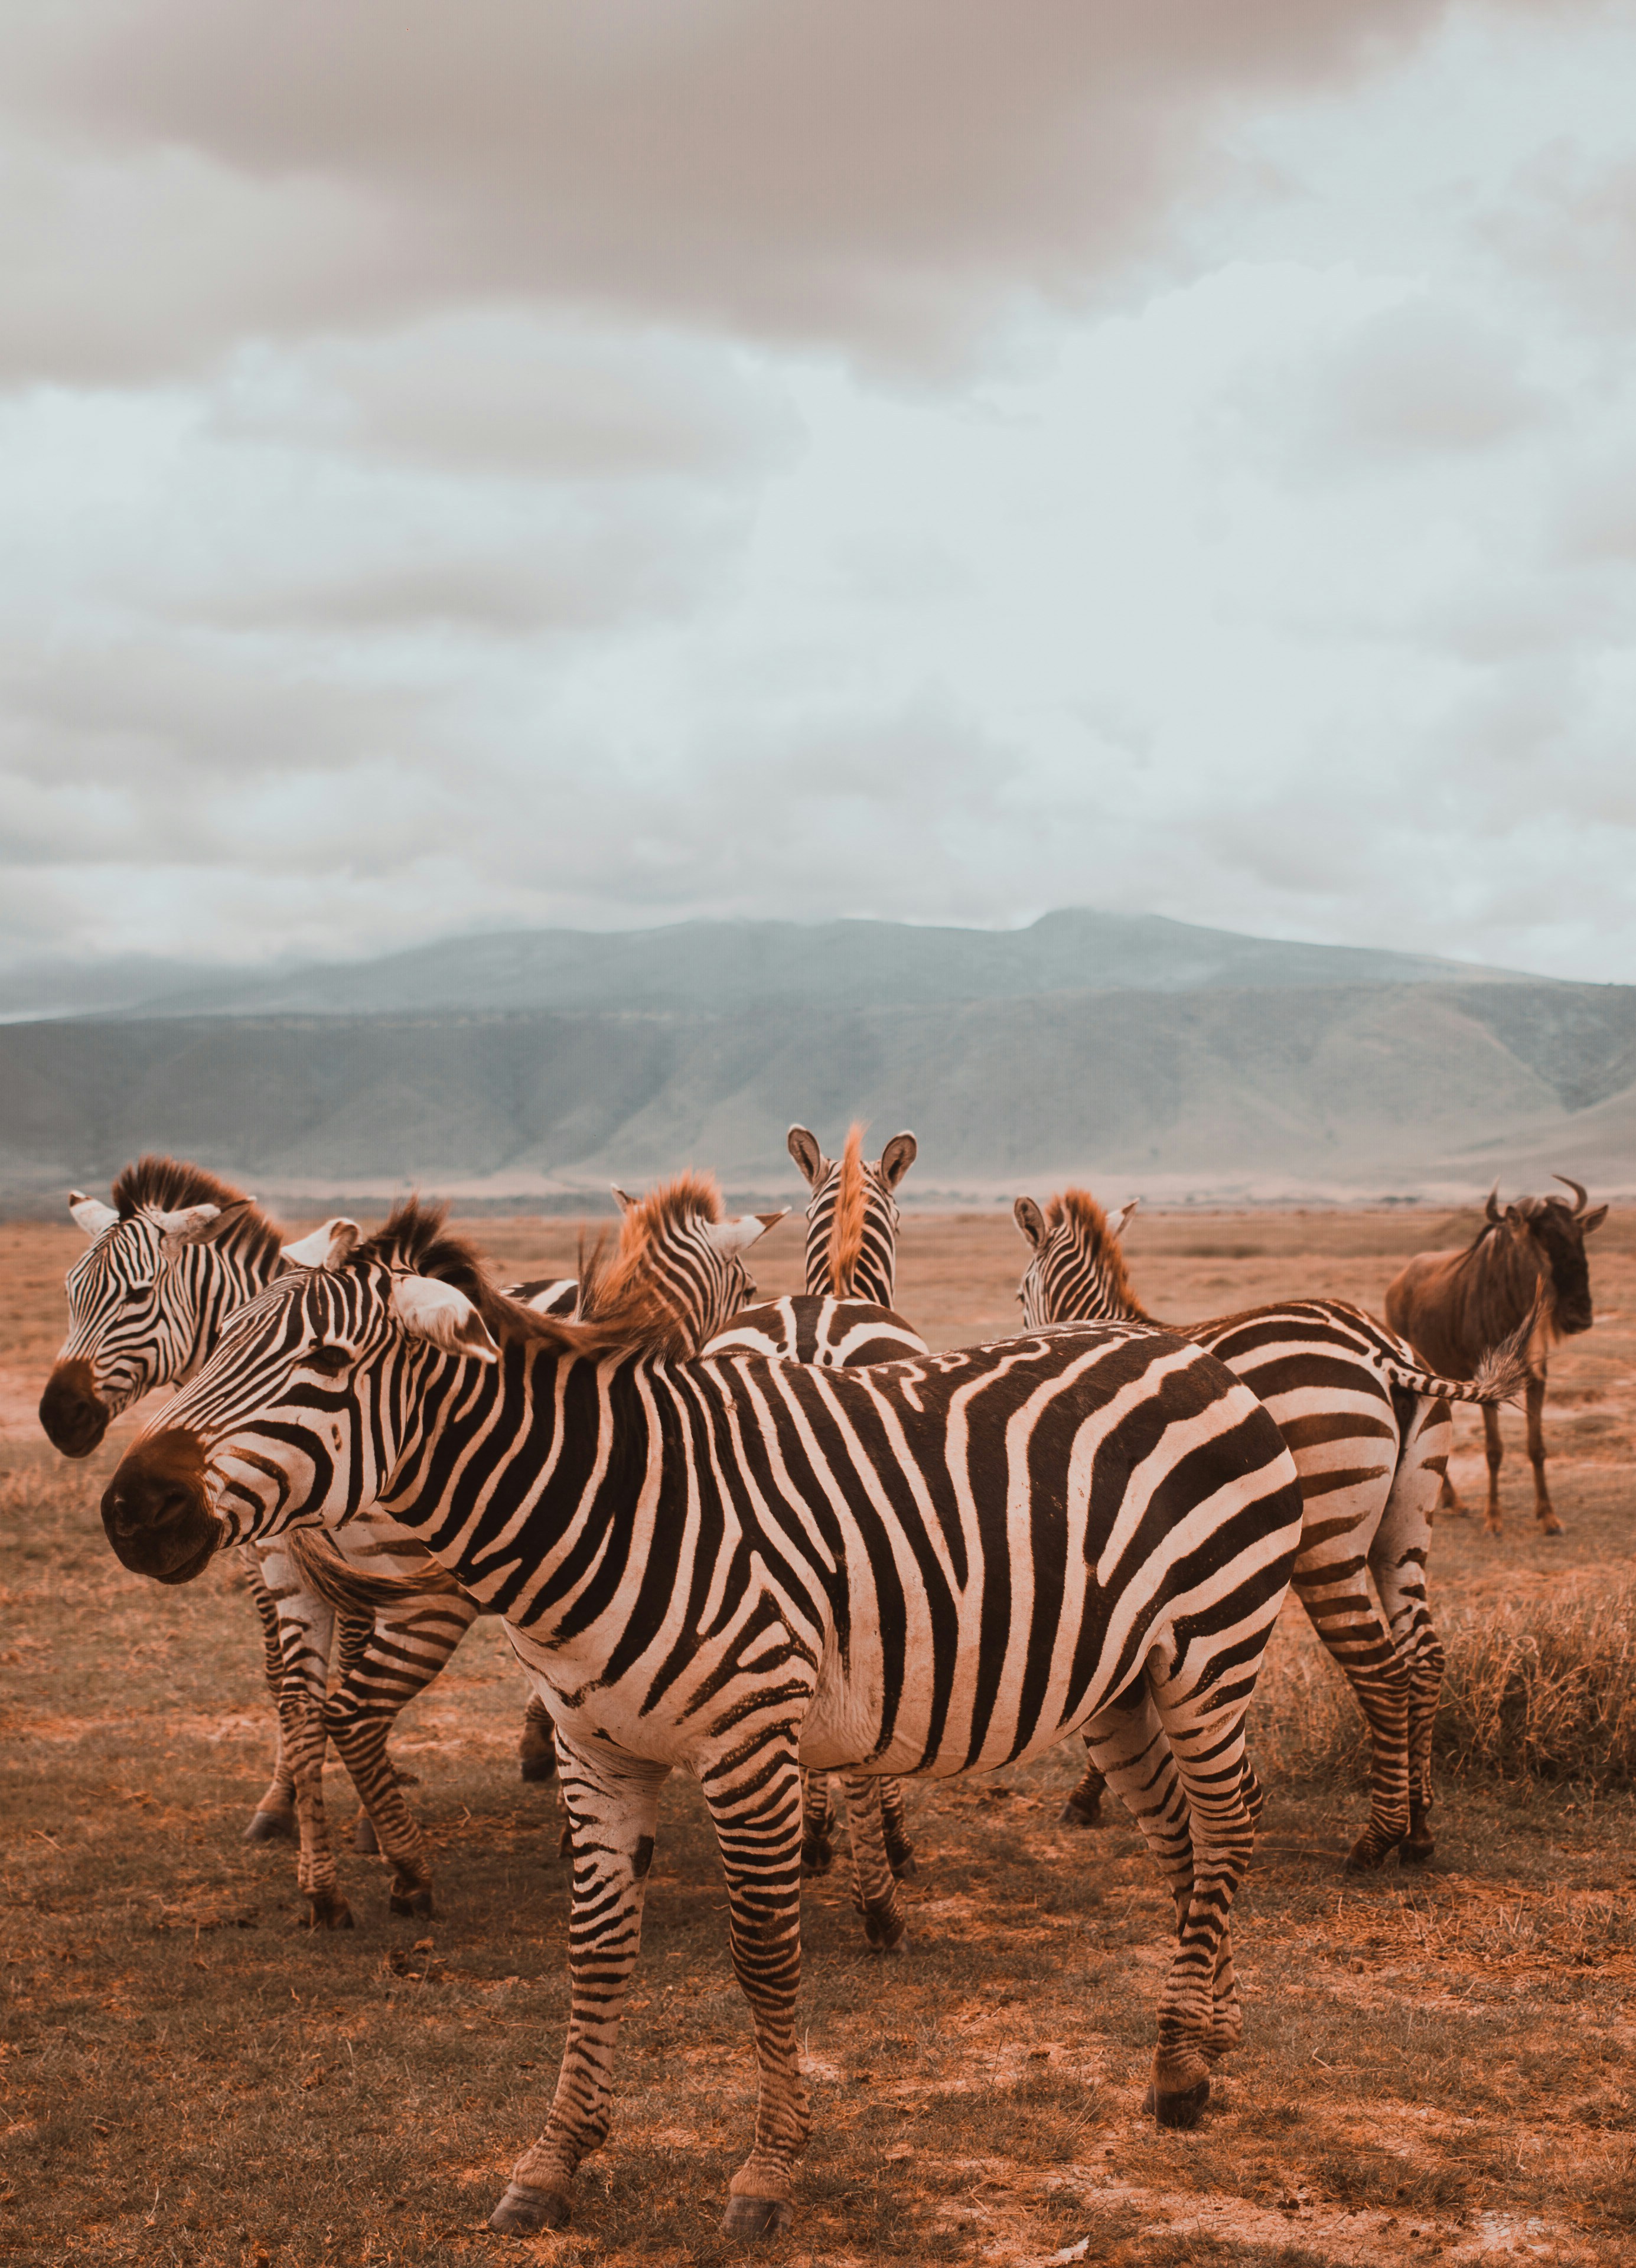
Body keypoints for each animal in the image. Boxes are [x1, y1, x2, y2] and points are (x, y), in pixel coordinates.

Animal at [100, 1191, 1305, 2238]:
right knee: (1187, 1841)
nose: (127, 1509)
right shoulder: (594, 1749)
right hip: (1120, 1685)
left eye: (328, 1368)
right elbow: (593, 1950)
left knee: (1231, 1821)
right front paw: (553, 2162)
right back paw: (1207, 2033)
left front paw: (766, 2172)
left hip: (1209, 1647)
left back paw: (1182, 2073)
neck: (609, 1507)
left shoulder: (749, 1744)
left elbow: (764, 1952)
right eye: (221, 1345)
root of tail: (1190, 1352)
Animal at [1014, 1187, 1529, 1869]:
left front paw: (1089, 1794)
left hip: (1328, 1539)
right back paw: (1419, 1829)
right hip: (1406, 1524)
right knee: (1425, 1657)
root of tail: (1382, 1352)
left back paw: (1377, 1838)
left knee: (1382, 1671)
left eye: (1019, 1295)